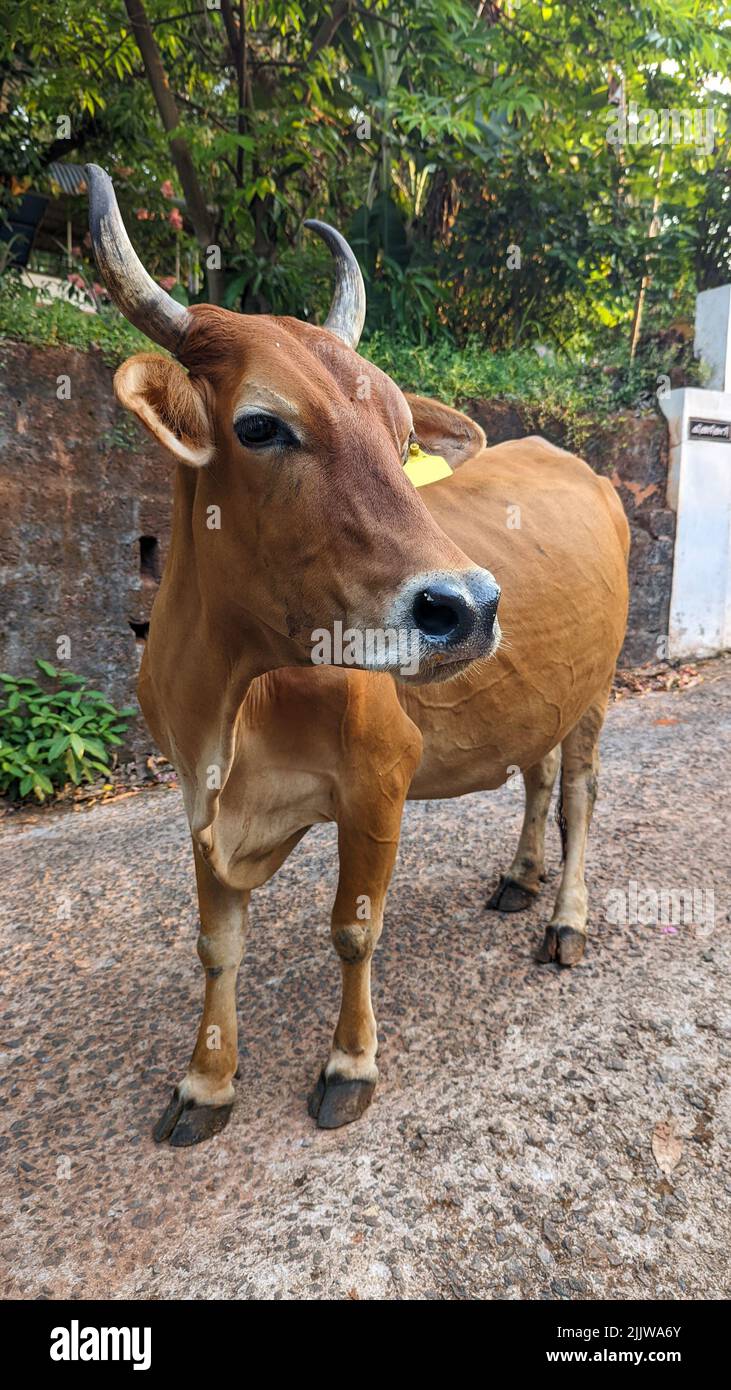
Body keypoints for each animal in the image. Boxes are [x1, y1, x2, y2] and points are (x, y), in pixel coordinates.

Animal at [86, 165, 629, 1146]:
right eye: (260, 426)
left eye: (402, 435)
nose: (469, 607)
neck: (237, 693)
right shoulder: (197, 795)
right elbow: (216, 945)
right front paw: (205, 1083)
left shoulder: (379, 782)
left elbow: (353, 928)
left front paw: (350, 1064)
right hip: (548, 690)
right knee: (534, 779)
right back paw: (519, 878)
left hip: (598, 691)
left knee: (576, 796)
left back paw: (564, 920)